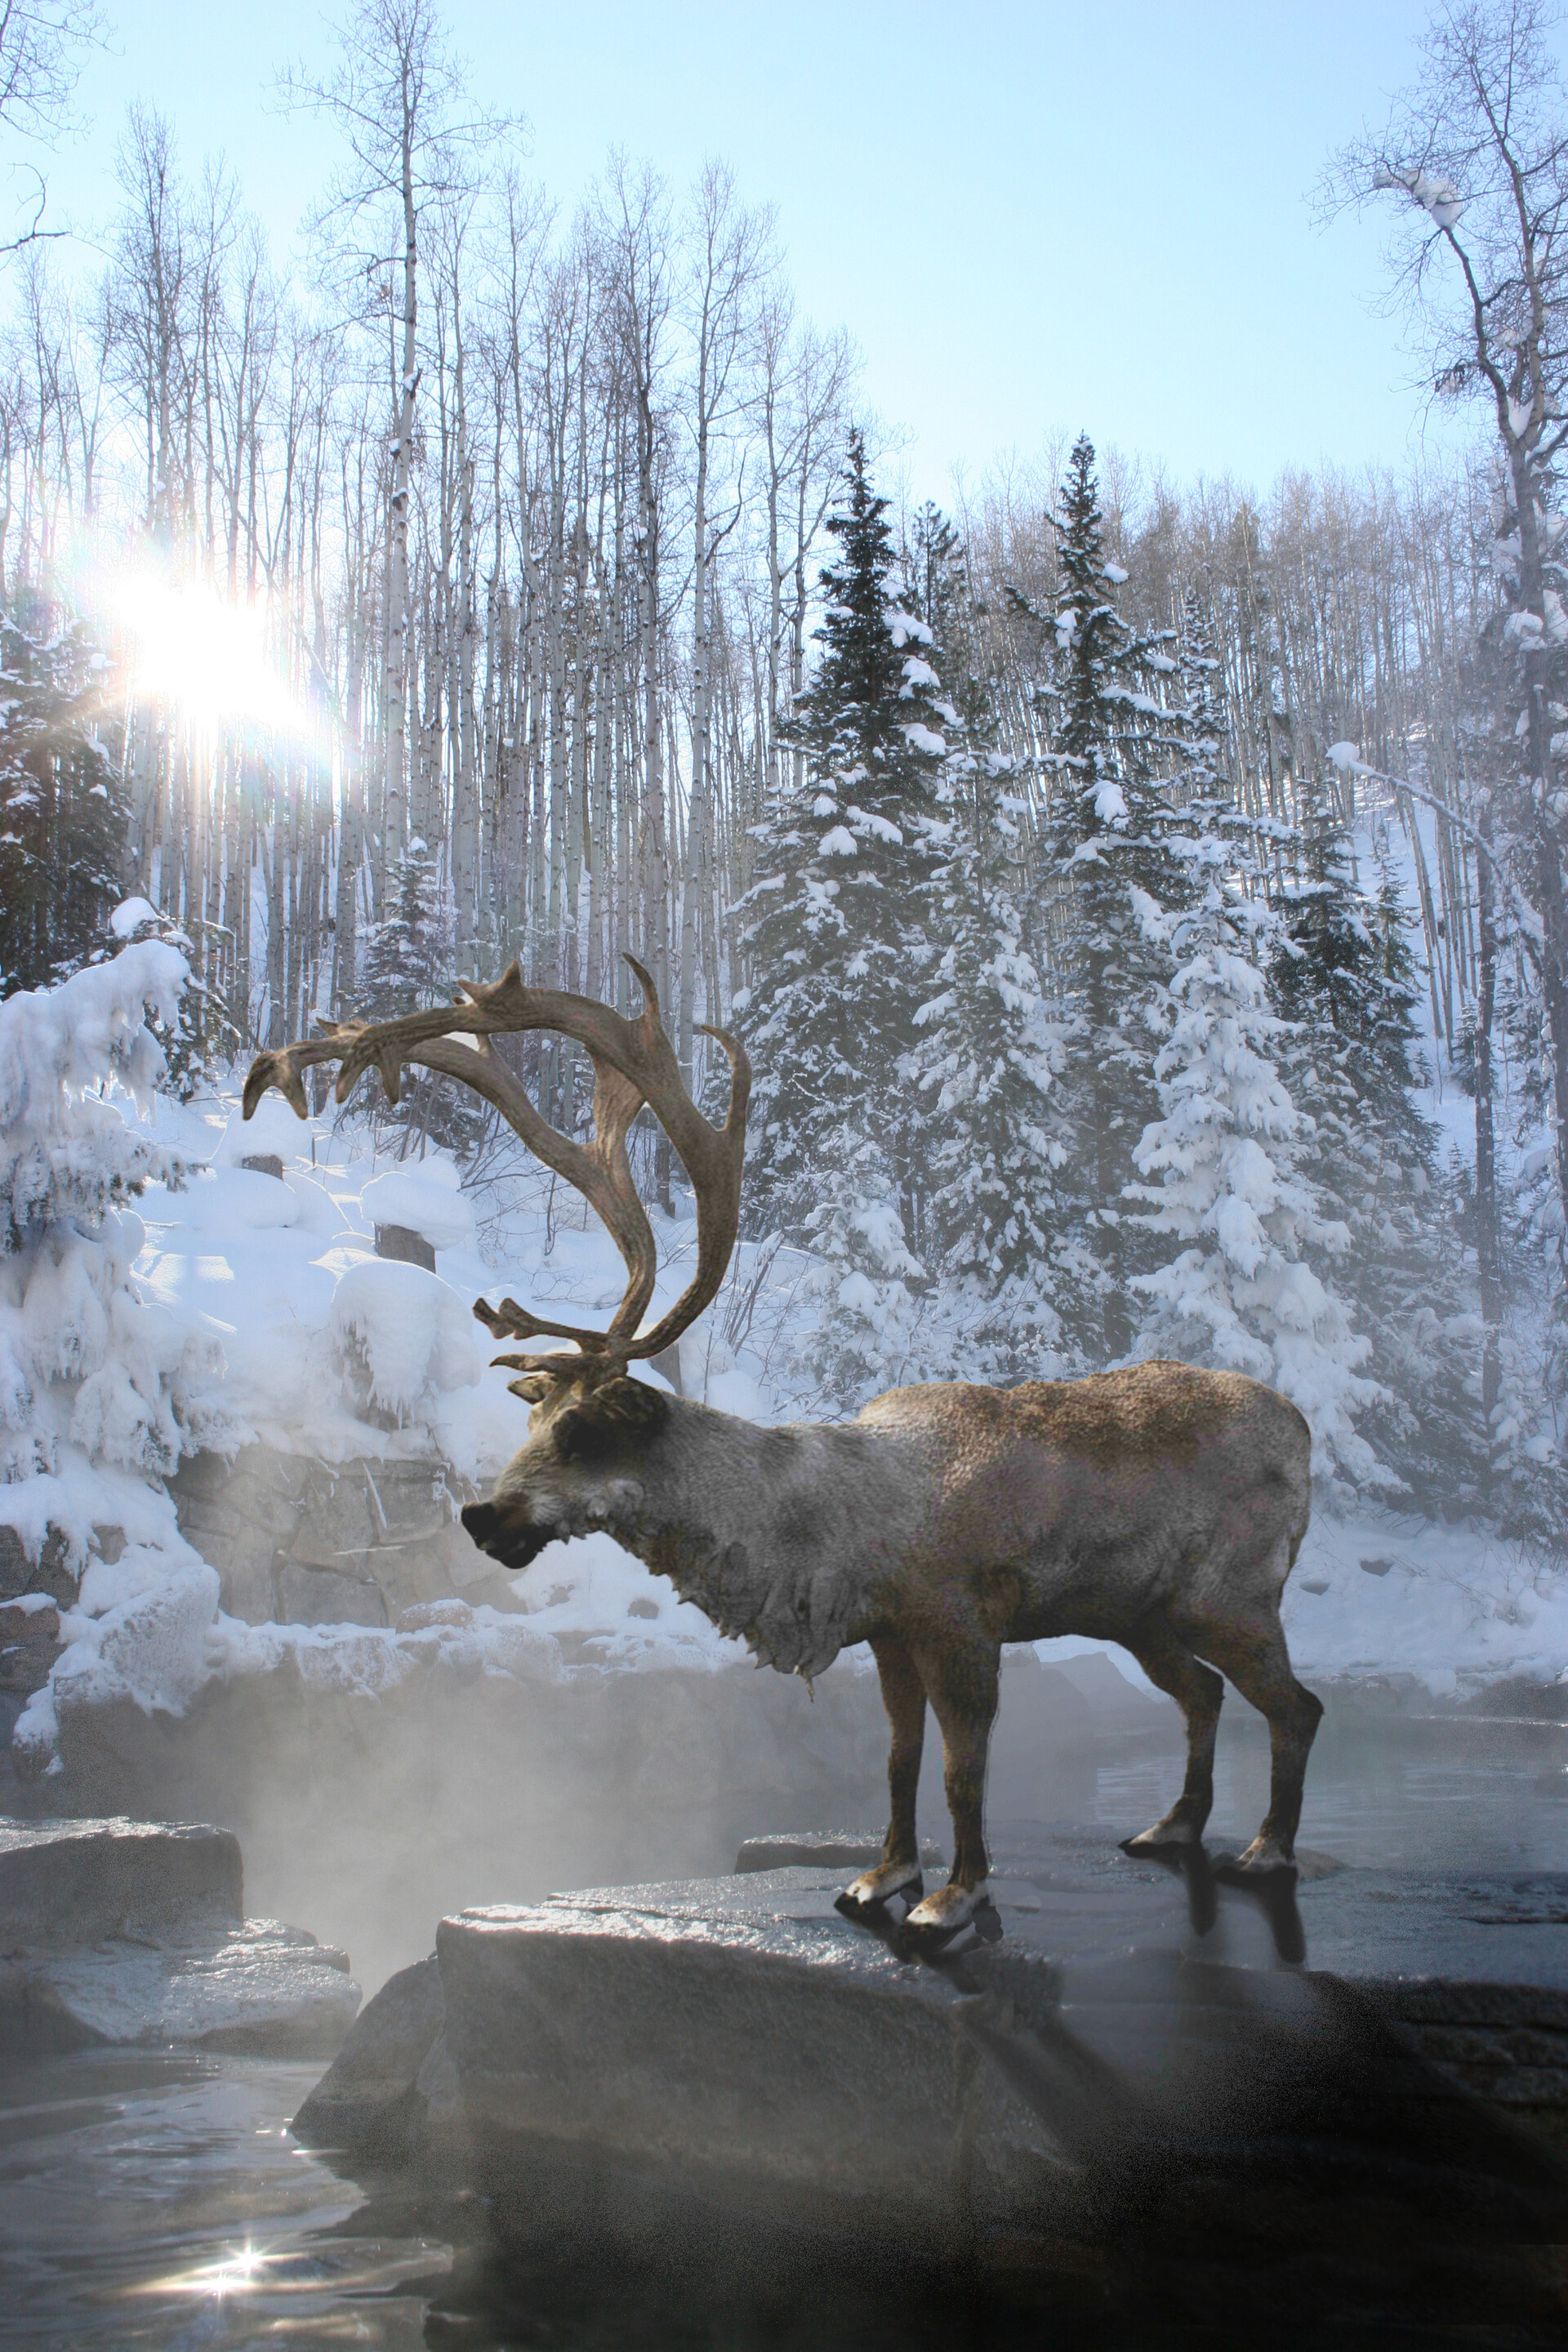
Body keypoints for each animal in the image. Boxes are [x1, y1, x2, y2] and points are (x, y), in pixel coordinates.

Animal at [245, 956, 1322, 1944]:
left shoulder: (962, 1625)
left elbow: (963, 1771)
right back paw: (1173, 1826)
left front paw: (955, 1896)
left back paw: (1266, 1848)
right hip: (1141, 1611)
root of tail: (1304, 1427)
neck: (833, 1539)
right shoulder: (889, 1636)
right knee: (1205, 1694)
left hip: (1234, 1593)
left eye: (586, 1431)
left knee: (1295, 1705)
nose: (481, 1515)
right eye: (533, 1422)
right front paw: (878, 1877)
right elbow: (895, 1763)